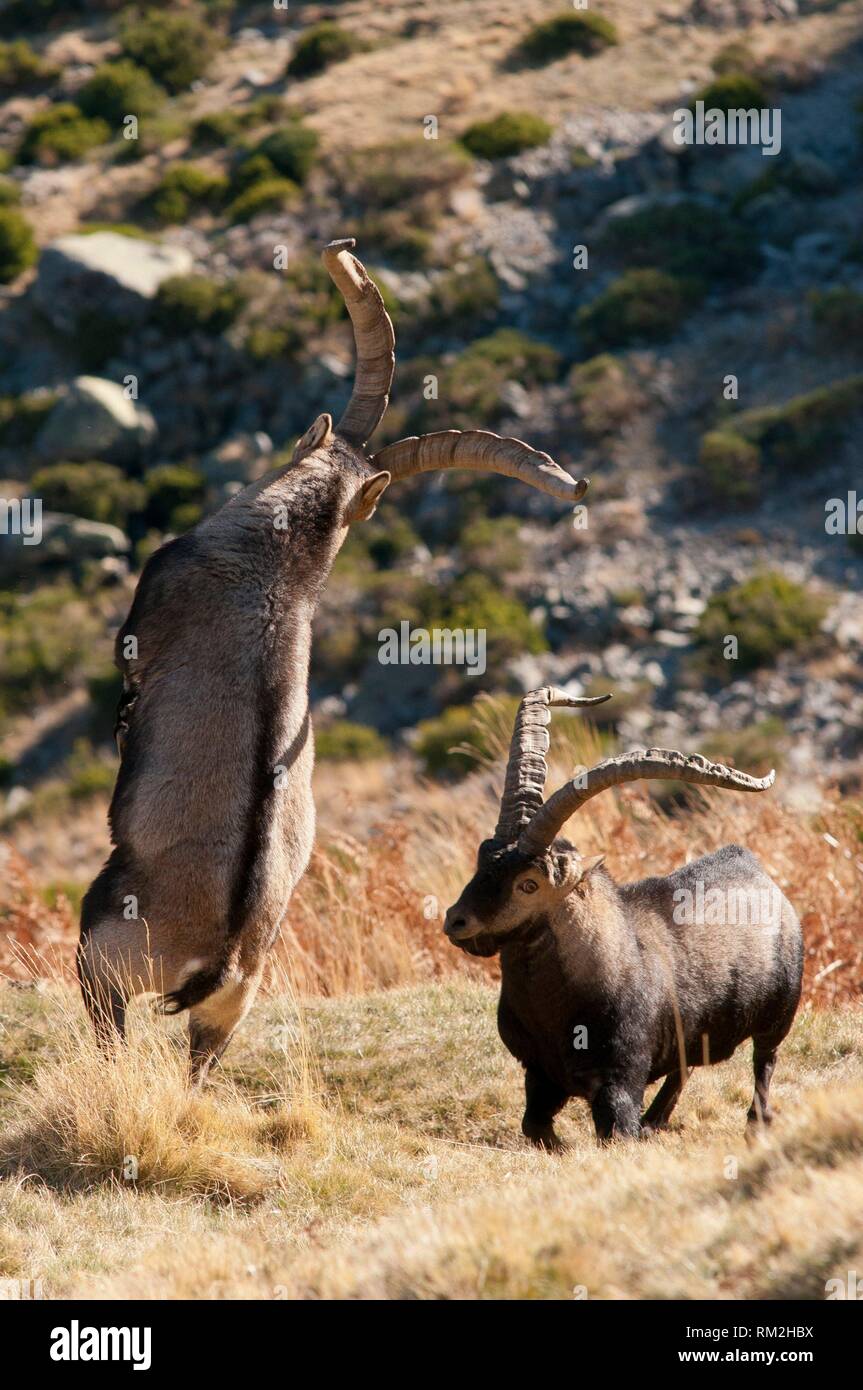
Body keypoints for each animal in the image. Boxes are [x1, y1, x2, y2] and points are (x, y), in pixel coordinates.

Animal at [444, 687, 803, 1147]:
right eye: (482, 857)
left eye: (529, 883)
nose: (456, 921)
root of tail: (757, 869)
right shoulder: (538, 1072)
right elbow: (534, 1126)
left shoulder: (620, 1077)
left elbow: (616, 1132)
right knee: (685, 1068)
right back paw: (657, 1119)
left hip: (779, 1011)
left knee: (765, 1060)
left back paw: (754, 1124)